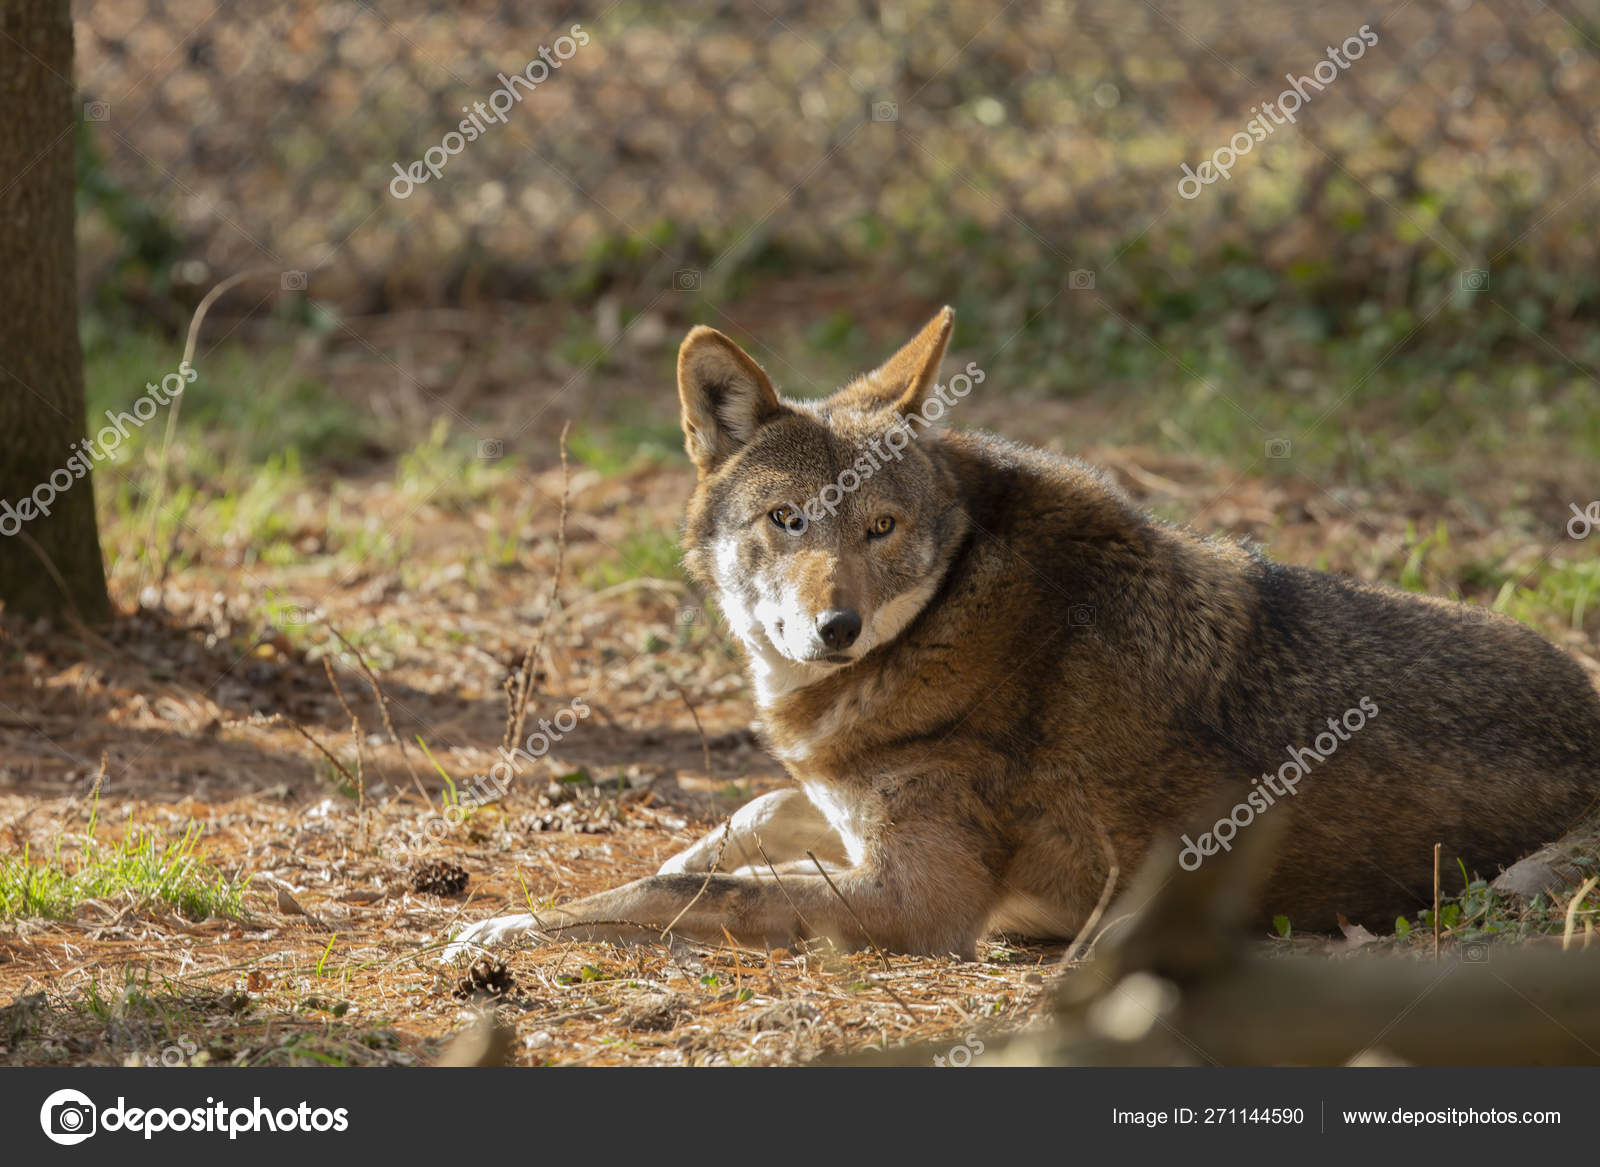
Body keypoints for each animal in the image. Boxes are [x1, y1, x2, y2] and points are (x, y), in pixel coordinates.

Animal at [449, 308, 1600, 960]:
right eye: (786, 520)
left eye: (881, 528)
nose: (835, 626)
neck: (950, 617)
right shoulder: (844, 816)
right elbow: (746, 819)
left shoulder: (917, 900)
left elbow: (696, 887)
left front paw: (505, 927)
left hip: (1517, 884)